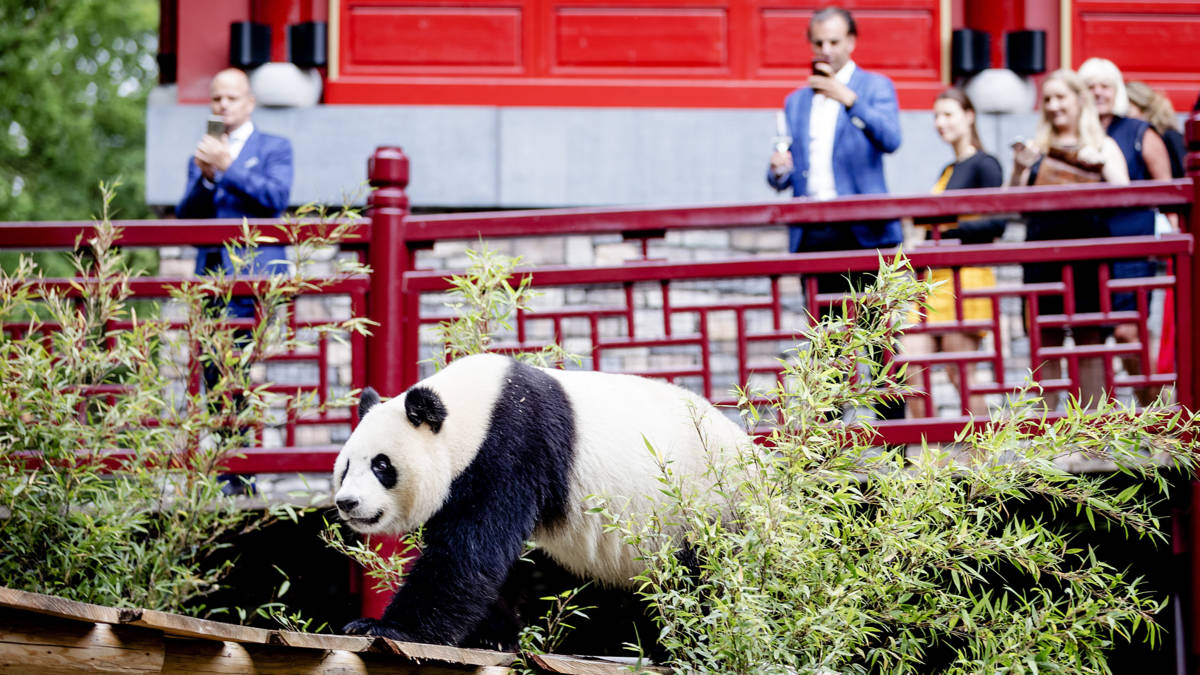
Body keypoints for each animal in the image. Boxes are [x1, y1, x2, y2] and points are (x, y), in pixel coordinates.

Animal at [332, 352, 750, 647]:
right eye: (346, 466)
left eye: (381, 465)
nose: (347, 503)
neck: (473, 410)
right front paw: (492, 635)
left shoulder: (511, 449)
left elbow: (469, 552)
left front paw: (380, 627)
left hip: (704, 510)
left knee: (703, 582)